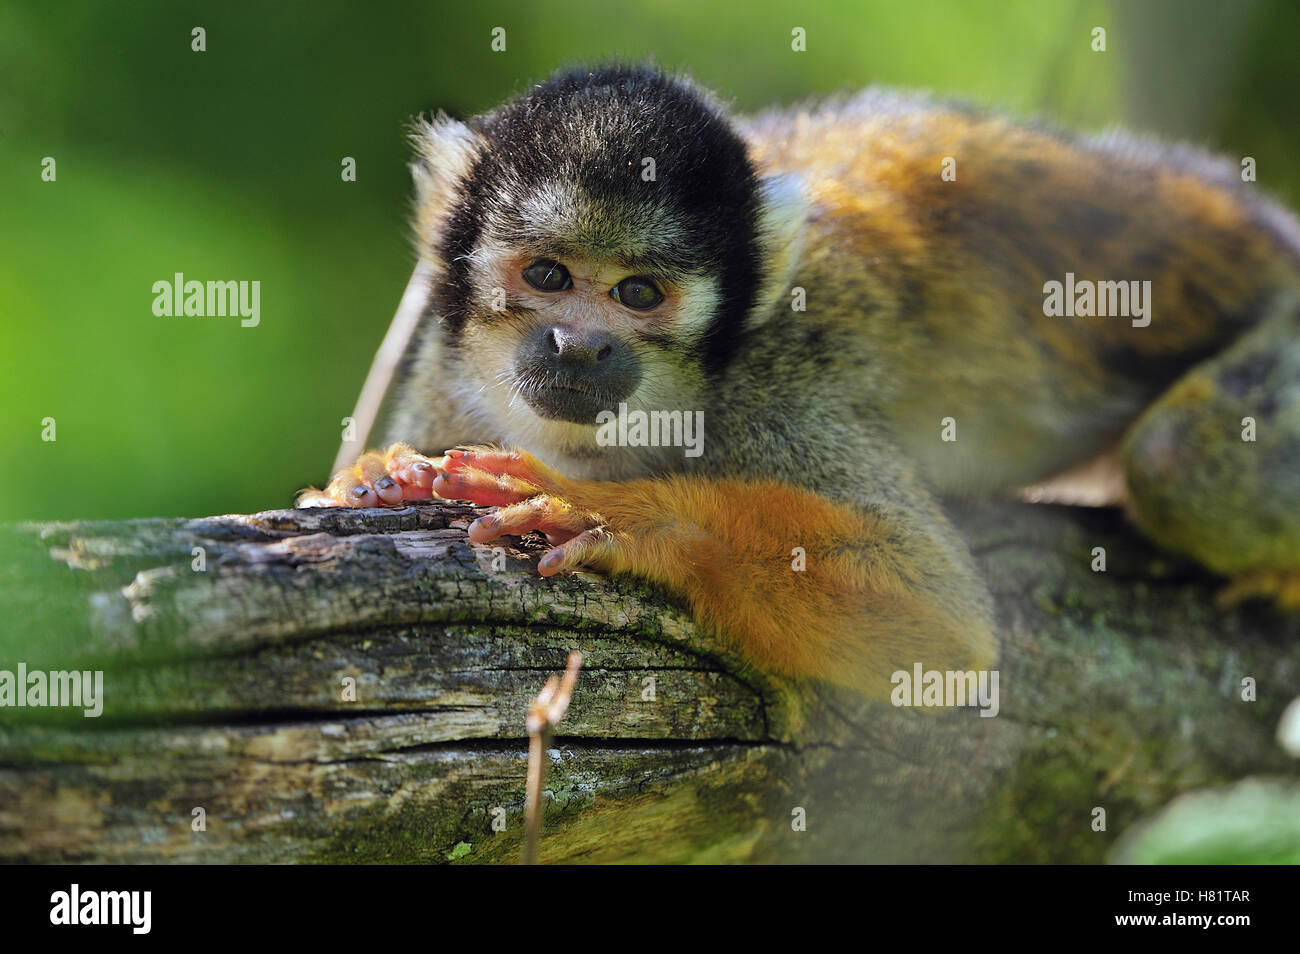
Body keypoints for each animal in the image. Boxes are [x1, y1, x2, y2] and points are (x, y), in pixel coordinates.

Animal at [297, 64, 1300, 696]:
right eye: (548, 275)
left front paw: (627, 518)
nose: (578, 347)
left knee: (1177, 462)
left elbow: (941, 626)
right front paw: (376, 473)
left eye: (638, 293)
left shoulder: (775, 386)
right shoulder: (449, 367)